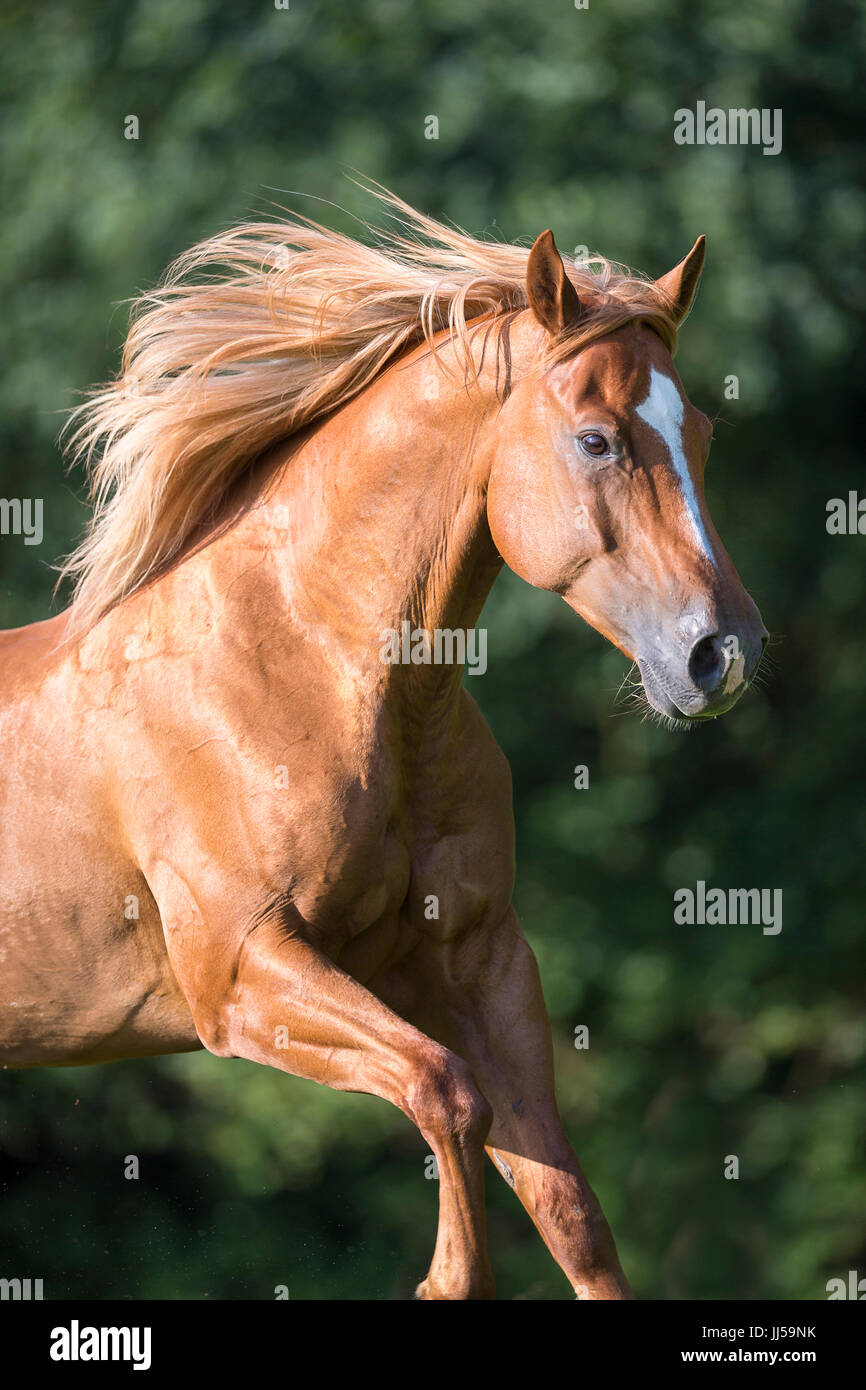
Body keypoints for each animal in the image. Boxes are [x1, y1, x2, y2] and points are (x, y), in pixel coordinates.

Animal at [0, 188, 767, 1299]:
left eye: (700, 432)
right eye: (596, 440)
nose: (723, 654)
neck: (306, 666)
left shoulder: (476, 961)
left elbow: (571, 1212)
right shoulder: (243, 977)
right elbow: (443, 1091)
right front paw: (443, 1280)